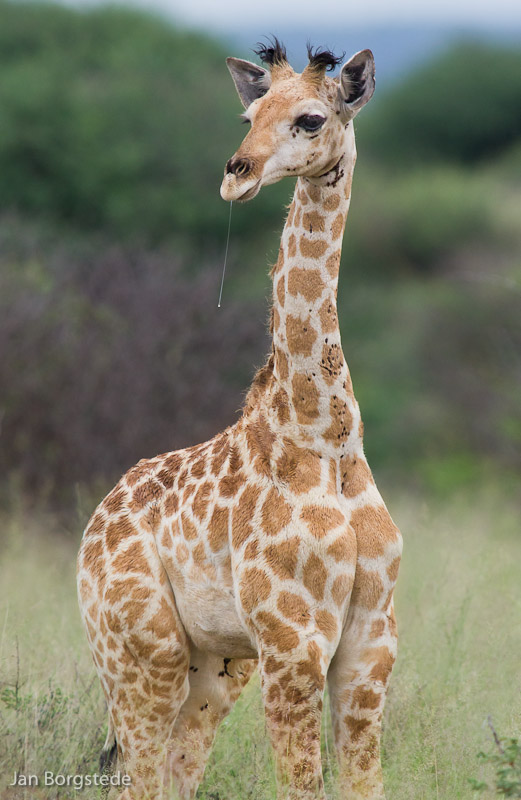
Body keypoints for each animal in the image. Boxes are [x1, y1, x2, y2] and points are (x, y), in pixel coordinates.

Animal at [77, 40, 402, 800]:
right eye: (249, 115)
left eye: (312, 118)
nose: (237, 175)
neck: (326, 437)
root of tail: (92, 526)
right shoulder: (292, 642)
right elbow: (301, 784)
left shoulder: (368, 649)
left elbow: (362, 783)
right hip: (142, 656)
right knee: (135, 775)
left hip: (214, 669)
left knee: (173, 774)